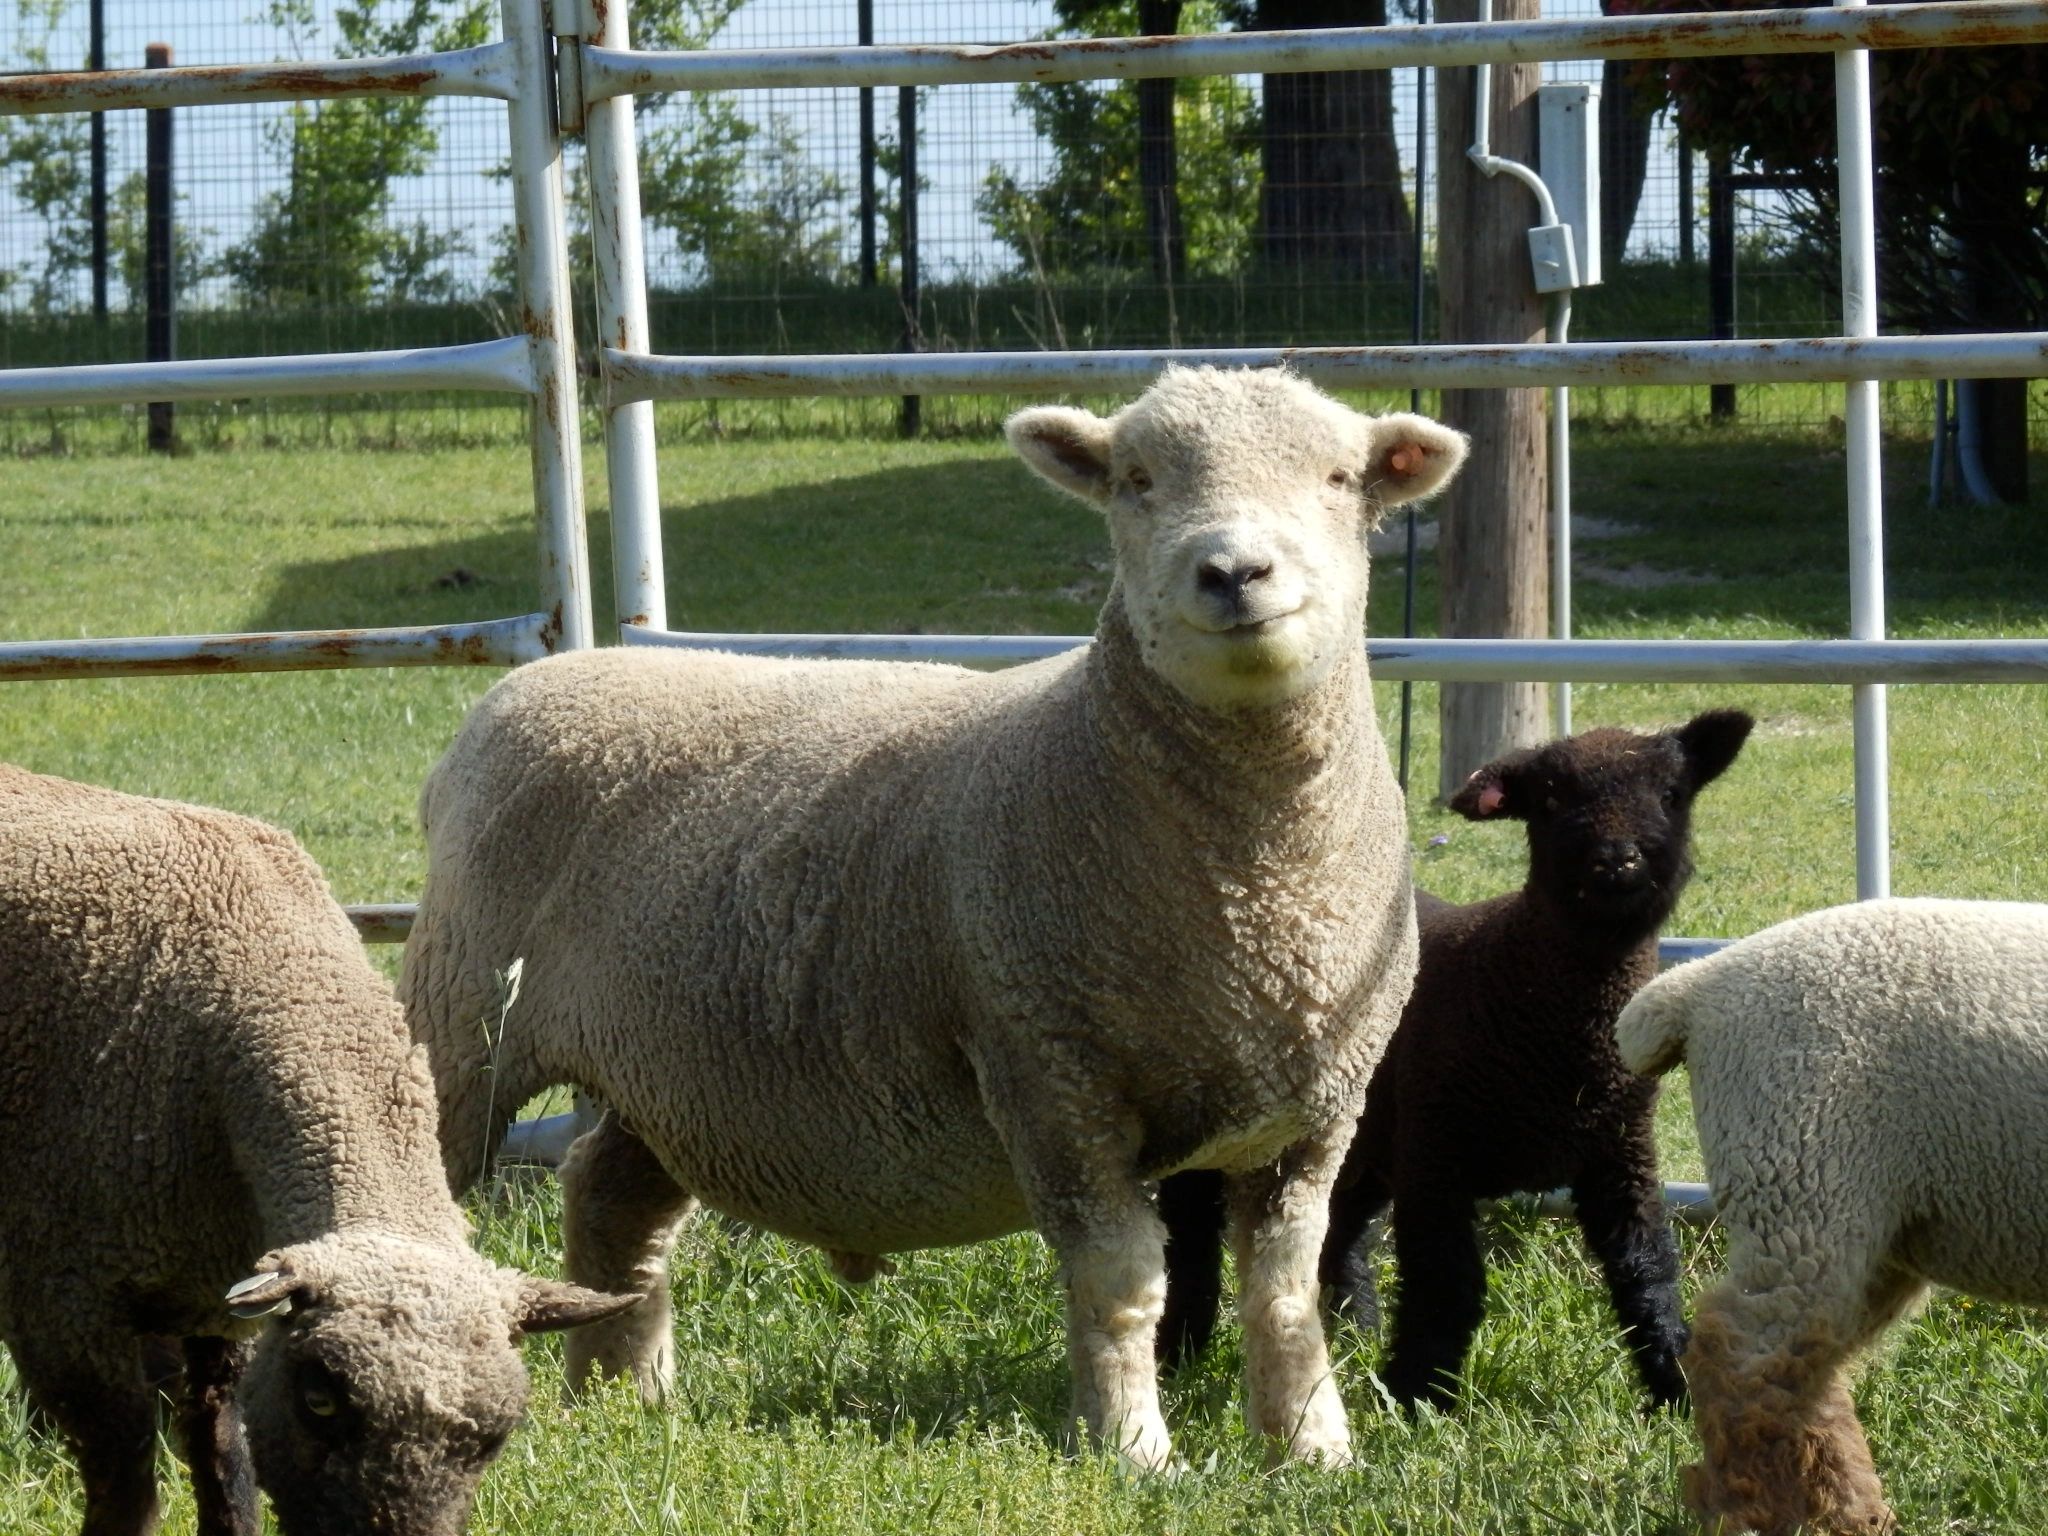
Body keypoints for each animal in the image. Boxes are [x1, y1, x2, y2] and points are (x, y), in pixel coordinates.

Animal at [0, 763, 633, 1536]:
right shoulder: (64, 1315)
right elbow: (128, 1488)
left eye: (495, 1434)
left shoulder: (221, 1306)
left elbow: (223, 1453)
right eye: (321, 1399)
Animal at [399, 365, 1467, 1472]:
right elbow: (1122, 1281)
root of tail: (535, 682)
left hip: (667, 1067)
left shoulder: (1316, 1107)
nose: (1233, 572)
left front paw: (1313, 1448)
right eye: (1135, 481)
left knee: (610, 1197)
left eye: (1339, 478)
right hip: (464, 1012)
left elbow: (1285, 1289)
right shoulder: (1052, 1074)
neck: (1249, 882)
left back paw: (624, 1401)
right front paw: (1134, 1451)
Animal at [1156, 708, 1755, 1412]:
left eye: (1672, 794)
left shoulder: (1620, 1154)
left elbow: (1647, 1271)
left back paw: (1354, 1335)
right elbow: (1447, 1281)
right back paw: (1177, 1355)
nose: (1616, 861)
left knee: (1340, 1231)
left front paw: (1675, 1390)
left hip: (1371, 1141)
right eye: (1551, 800)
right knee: (1191, 1236)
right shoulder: (1436, 1154)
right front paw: (1417, 1397)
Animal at [1617, 897, 2048, 1536]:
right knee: (1746, 1361)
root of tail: (1696, 985)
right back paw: (1765, 1513)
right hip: (1802, 1169)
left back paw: (1840, 1510)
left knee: (1805, 1369)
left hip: (1871, 1223)